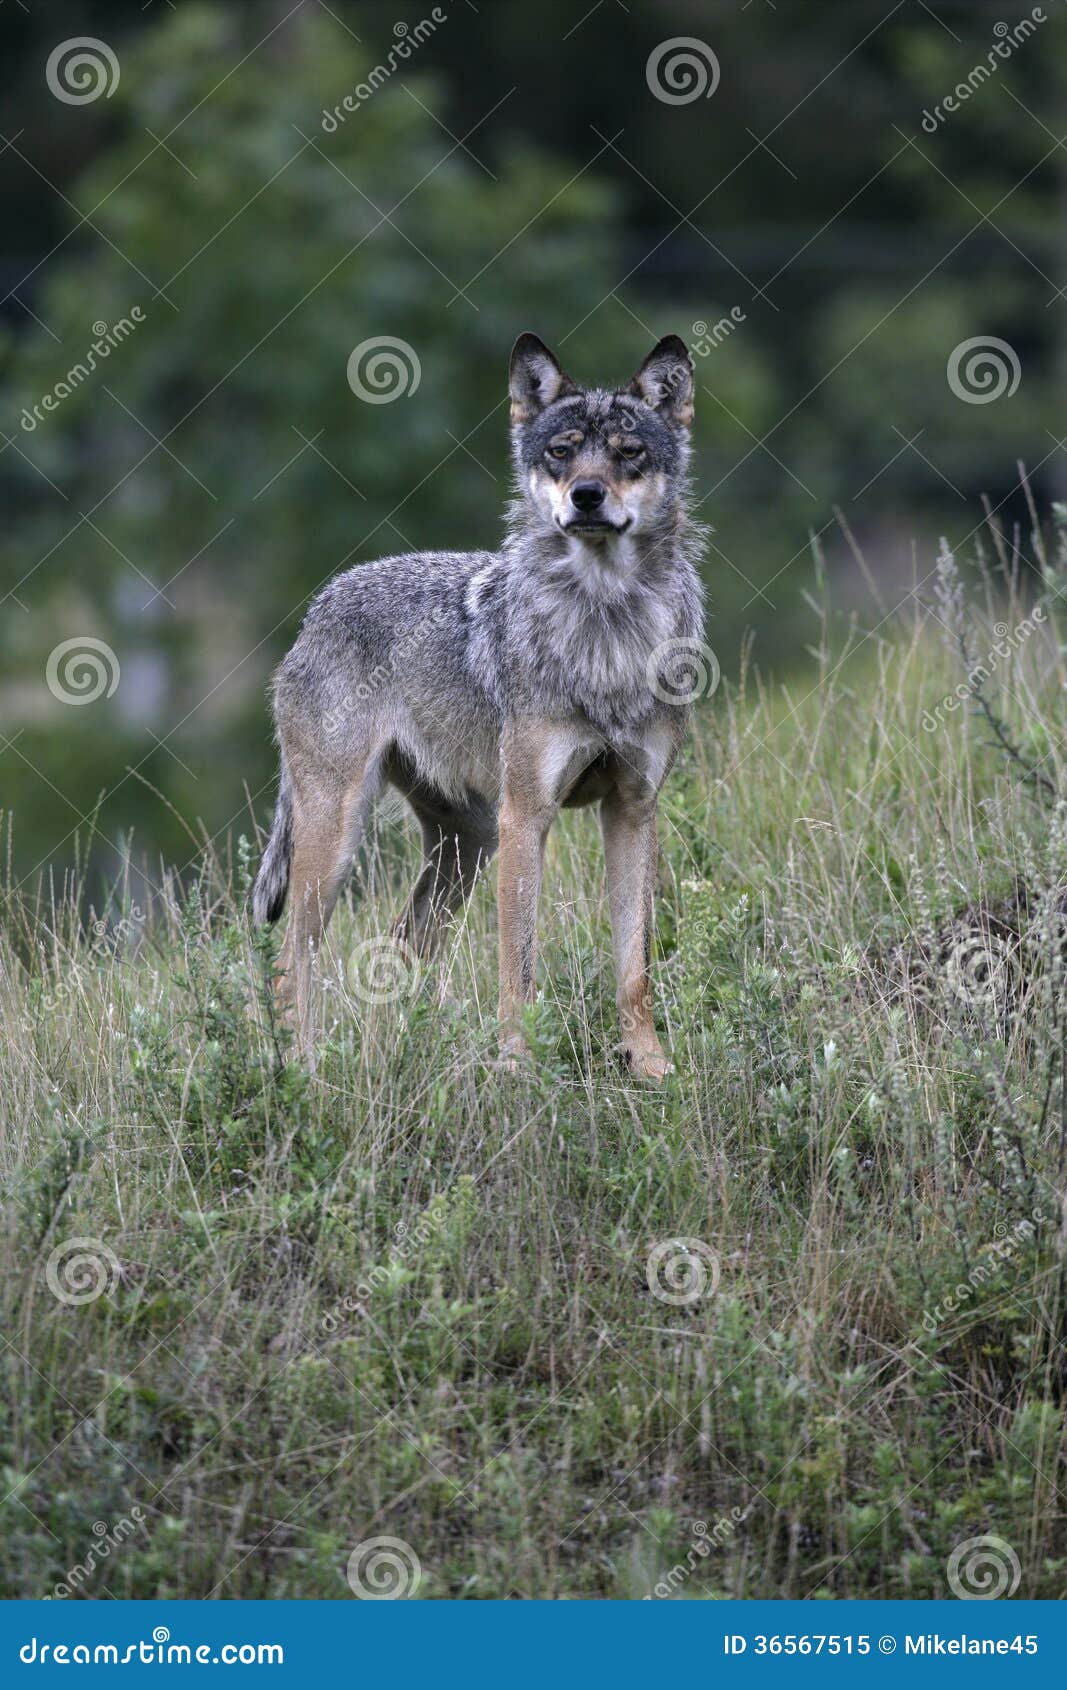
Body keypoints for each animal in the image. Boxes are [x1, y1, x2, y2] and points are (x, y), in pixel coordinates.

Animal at [253, 332, 705, 1080]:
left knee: (399, 943)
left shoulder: (633, 808)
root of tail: (320, 604)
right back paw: (303, 1076)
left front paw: (651, 1066)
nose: (586, 495)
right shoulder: (527, 816)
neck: (604, 631)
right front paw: (518, 1071)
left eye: (627, 452)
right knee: (292, 958)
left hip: (467, 845)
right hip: (341, 836)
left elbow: (633, 968)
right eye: (562, 451)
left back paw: (393, 1064)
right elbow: (517, 969)